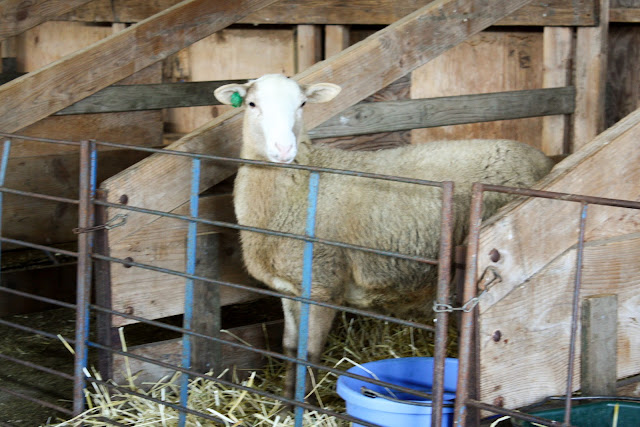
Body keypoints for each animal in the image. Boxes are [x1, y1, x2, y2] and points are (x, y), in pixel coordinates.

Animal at [214, 73, 554, 400]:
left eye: (302, 104)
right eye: (252, 104)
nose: (284, 149)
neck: (300, 181)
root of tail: (542, 160)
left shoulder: (324, 283)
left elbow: (308, 353)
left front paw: (303, 404)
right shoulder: (289, 287)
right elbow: (289, 349)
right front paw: (285, 405)